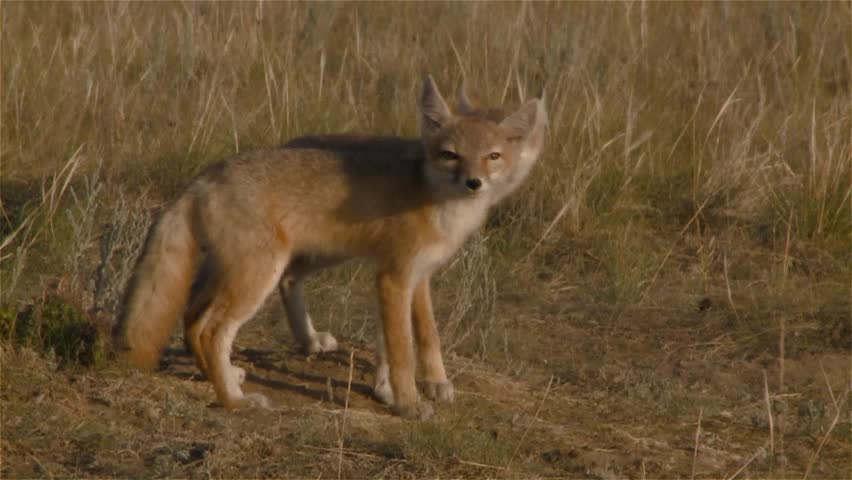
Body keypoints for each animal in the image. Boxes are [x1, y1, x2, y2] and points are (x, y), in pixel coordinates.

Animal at [115, 75, 547, 419]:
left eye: (493, 157)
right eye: (450, 155)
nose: (474, 183)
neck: (436, 199)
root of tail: (204, 178)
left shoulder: (411, 276)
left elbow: (411, 338)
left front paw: (390, 390)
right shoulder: (394, 277)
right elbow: (403, 350)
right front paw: (408, 404)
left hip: (279, 264)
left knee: (193, 314)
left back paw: (228, 376)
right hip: (258, 277)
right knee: (210, 330)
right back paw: (234, 401)